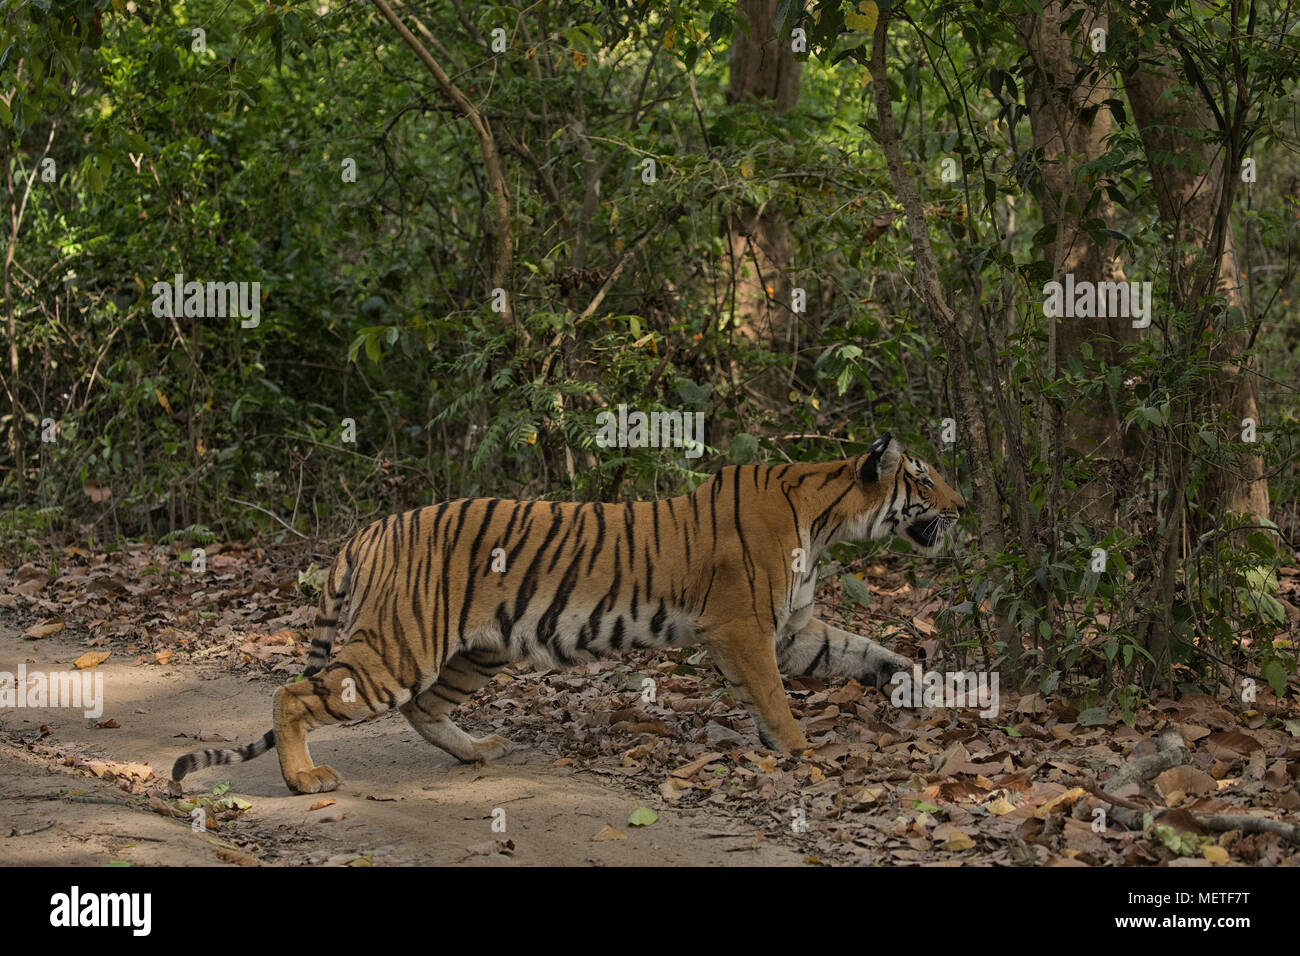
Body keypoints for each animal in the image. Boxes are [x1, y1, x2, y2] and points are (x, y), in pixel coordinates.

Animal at [172, 432, 964, 794]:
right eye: (925, 479)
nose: (963, 507)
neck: (825, 519)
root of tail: (368, 531)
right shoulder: (743, 628)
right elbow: (772, 696)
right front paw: (801, 753)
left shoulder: (794, 630)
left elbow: (865, 651)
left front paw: (917, 684)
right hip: (399, 647)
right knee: (293, 692)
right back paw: (304, 780)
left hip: (476, 650)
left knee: (423, 709)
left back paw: (479, 751)